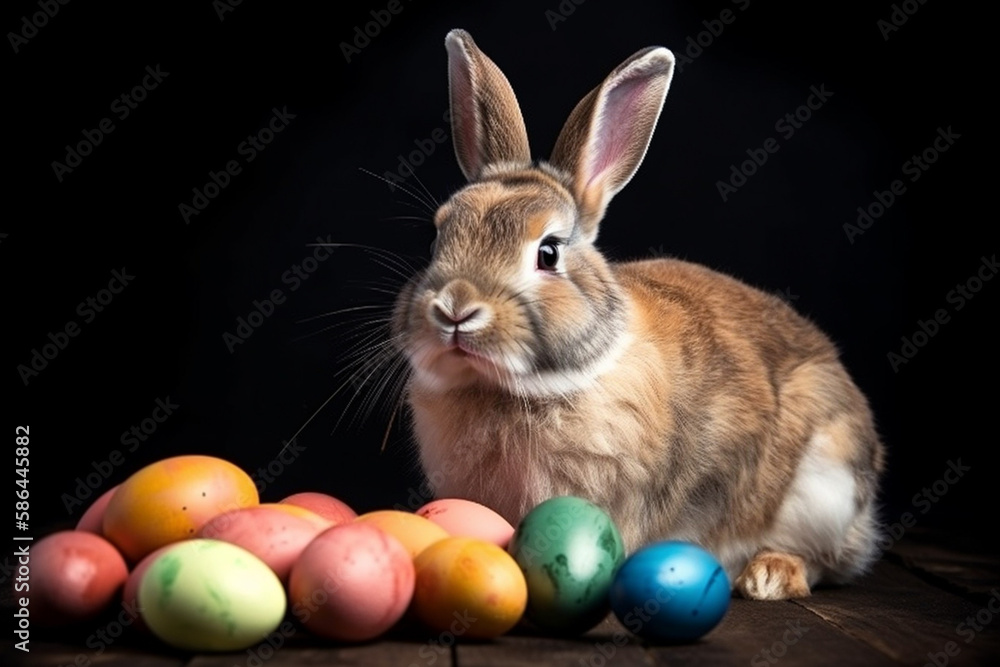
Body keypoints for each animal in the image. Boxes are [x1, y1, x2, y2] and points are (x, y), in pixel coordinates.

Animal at [390, 29, 885, 600]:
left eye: (548, 253)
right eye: (437, 237)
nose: (454, 309)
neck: (512, 390)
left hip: (826, 486)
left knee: (829, 561)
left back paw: (769, 575)